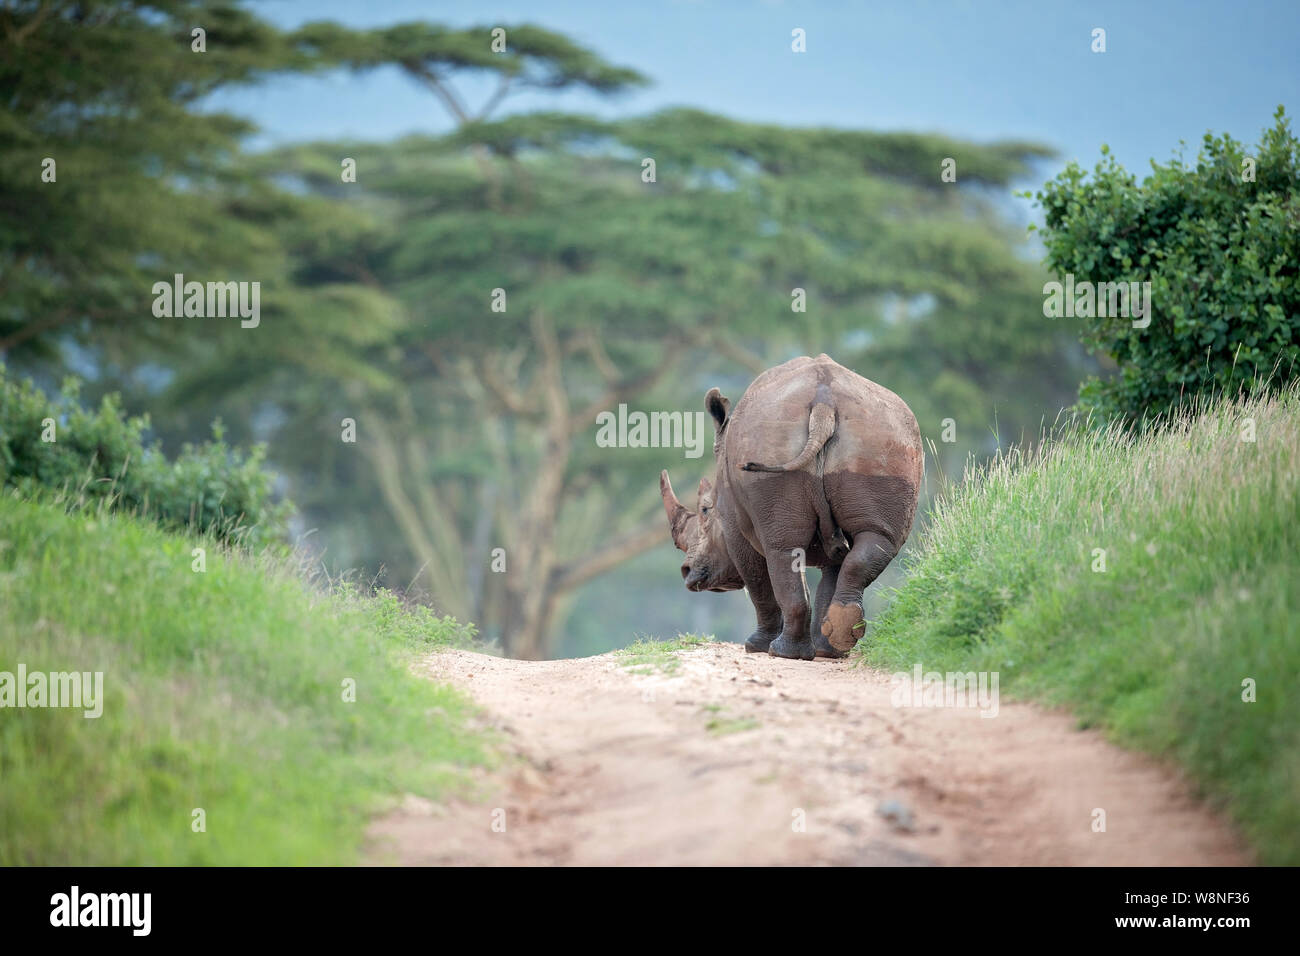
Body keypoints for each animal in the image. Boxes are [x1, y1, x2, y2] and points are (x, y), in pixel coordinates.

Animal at [660, 354, 923, 660]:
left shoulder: (733, 526)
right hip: (881, 438)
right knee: (876, 540)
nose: (686, 572)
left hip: (774, 439)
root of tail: (824, 405)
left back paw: (782, 652)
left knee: (781, 549)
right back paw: (839, 635)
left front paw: (756, 647)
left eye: (705, 510)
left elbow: (758, 582)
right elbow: (830, 575)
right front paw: (826, 650)